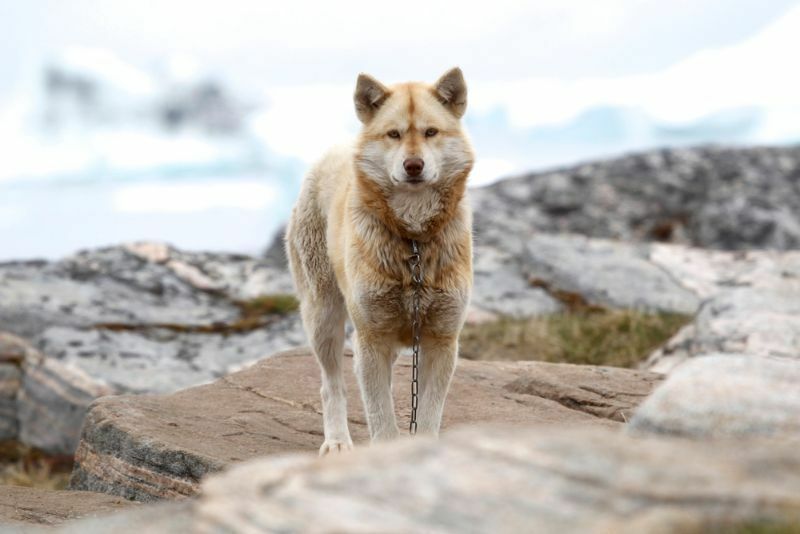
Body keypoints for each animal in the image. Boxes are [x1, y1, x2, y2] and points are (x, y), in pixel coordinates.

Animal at [286, 67, 476, 456]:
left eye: (431, 132)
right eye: (394, 134)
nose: (413, 166)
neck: (413, 240)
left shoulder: (441, 340)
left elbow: (428, 415)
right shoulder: (371, 338)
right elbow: (381, 418)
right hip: (323, 316)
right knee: (332, 385)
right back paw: (337, 442)